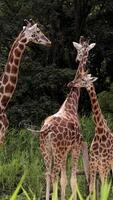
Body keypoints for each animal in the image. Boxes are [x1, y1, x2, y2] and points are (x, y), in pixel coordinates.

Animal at [38, 36, 95, 200]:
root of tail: (47, 129)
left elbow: (64, 180)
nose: (78, 58)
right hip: (57, 150)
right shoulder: (75, 147)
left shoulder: (66, 151)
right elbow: (73, 179)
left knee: (47, 174)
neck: (71, 104)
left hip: (46, 149)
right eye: (81, 50)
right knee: (54, 174)